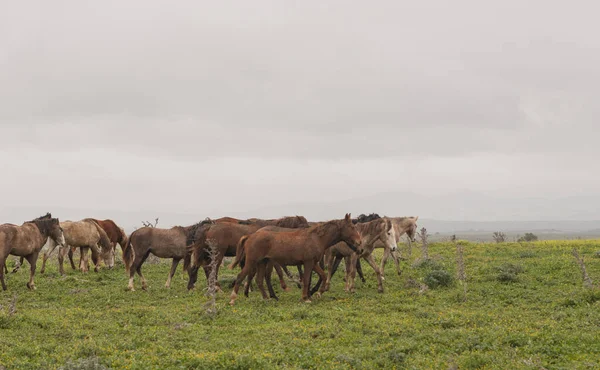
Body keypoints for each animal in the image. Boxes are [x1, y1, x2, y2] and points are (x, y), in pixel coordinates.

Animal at [229, 214, 360, 304]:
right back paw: (233, 299)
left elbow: (322, 275)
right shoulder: (308, 263)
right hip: (252, 262)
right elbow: (306, 279)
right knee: (241, 276)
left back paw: (266, 298)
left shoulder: (313, 263)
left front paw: (318, 292)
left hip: (262, 262)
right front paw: (306, 297)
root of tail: (250, 236)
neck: (316, 238)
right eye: (351, 227)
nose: (359, 242)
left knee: (259, 280)